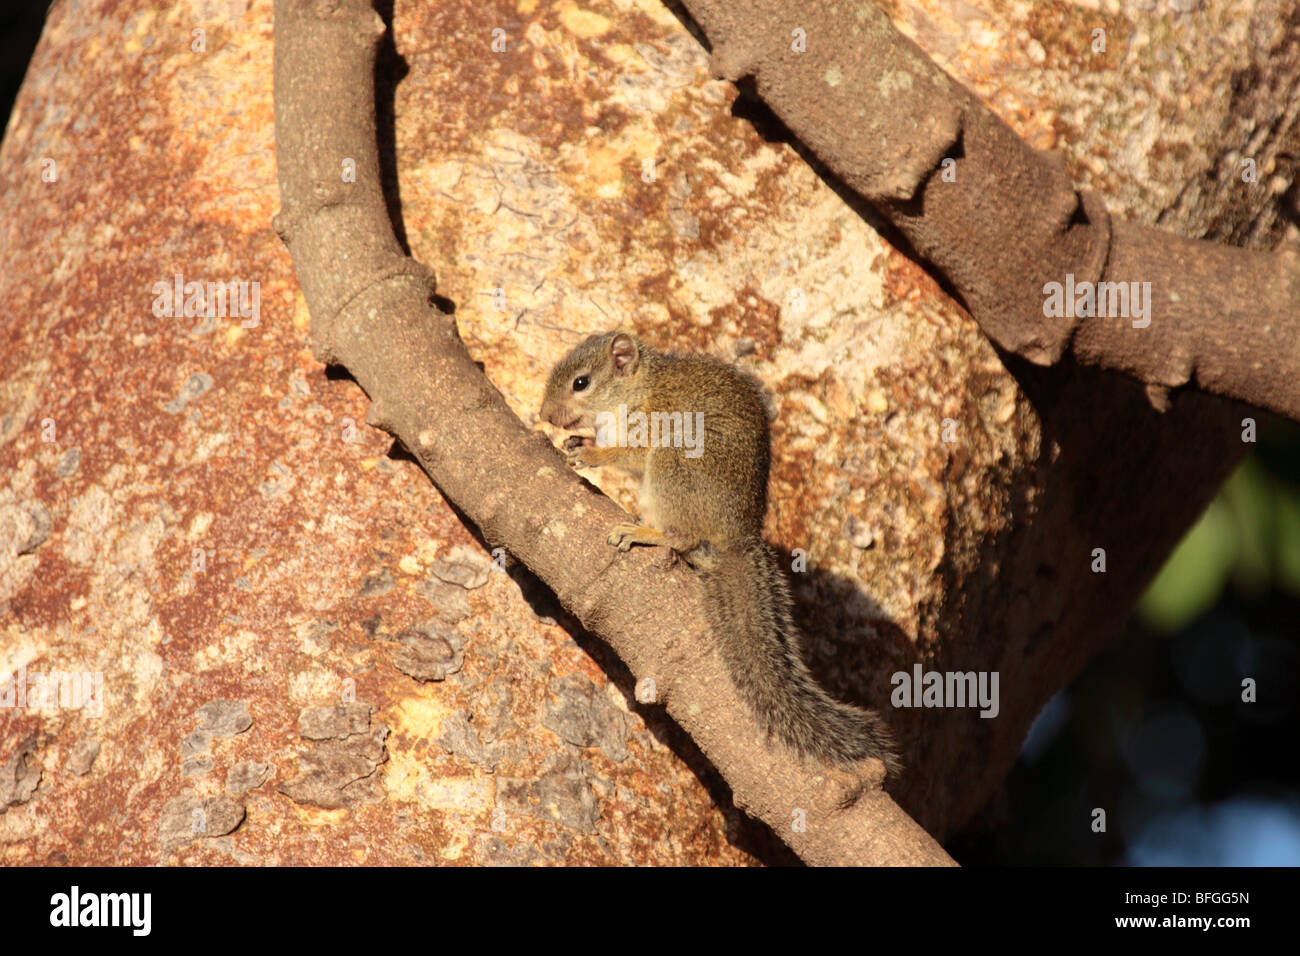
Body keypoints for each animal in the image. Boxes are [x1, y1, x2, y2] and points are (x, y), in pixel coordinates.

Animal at [539, 330, 900, 776]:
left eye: (581, 383)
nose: (544, 414)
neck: (637, 387)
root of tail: (734, 535)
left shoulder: (655, 423)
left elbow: (630, 454)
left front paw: (591, 453)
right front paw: (578, 441)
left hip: (678, 464)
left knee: (684, 537)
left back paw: (647, 534)